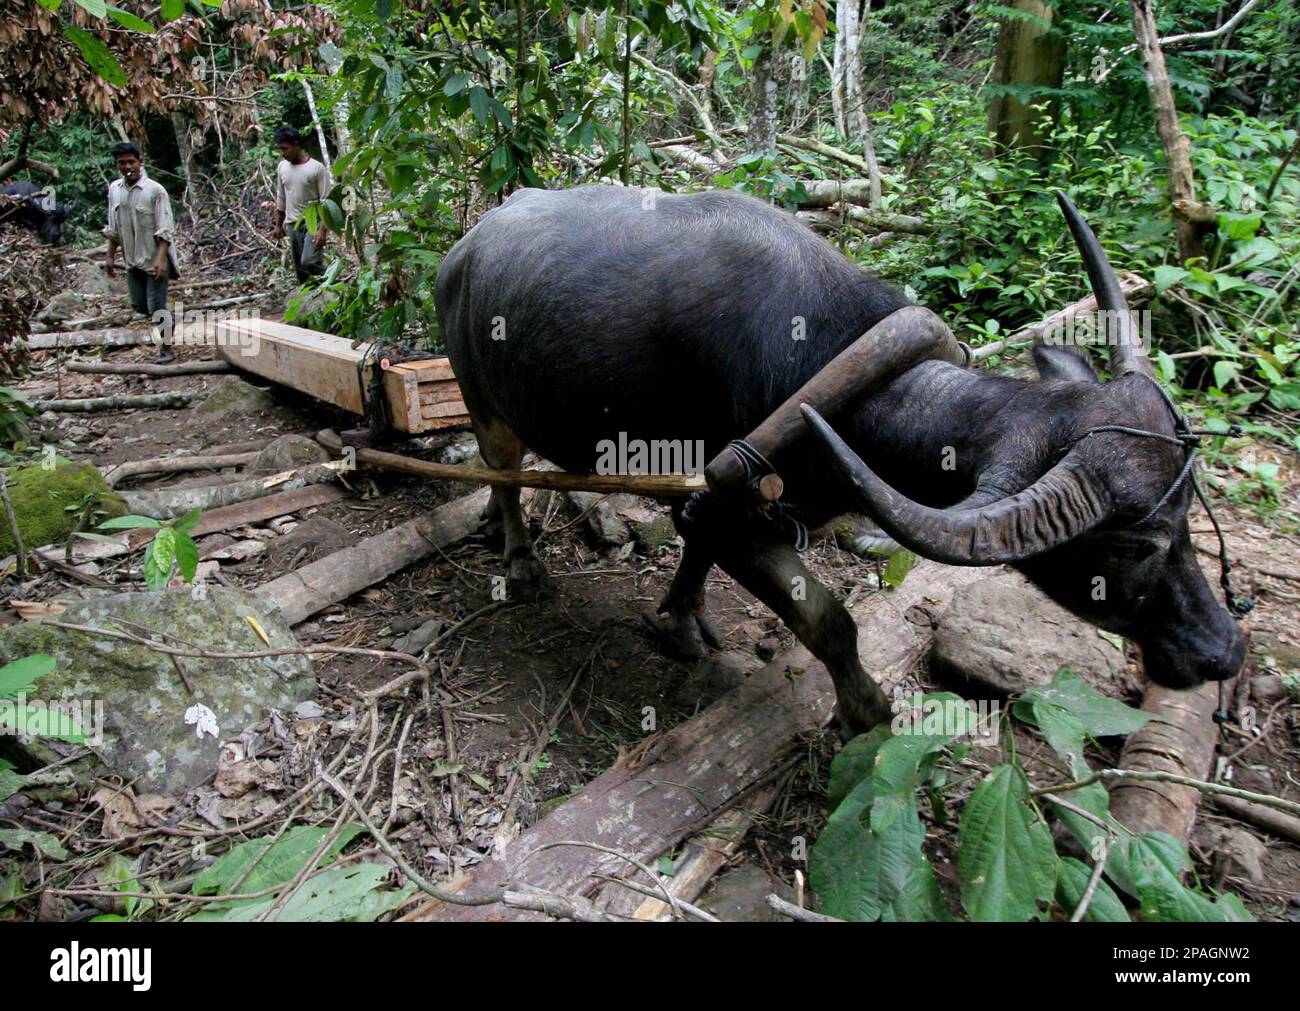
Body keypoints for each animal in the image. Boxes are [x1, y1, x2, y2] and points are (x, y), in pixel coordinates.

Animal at [435, 185, 1245, 738]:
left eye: (1188, 510)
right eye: (1132, 545)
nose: (1224, 651)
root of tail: (462, 250)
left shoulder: (714, 505)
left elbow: (697, 547)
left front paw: (683, 618)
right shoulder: (737, 507)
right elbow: (828, 620)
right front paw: (865, 710)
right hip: (482, 401)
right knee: (502, 476)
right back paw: (520, 563)